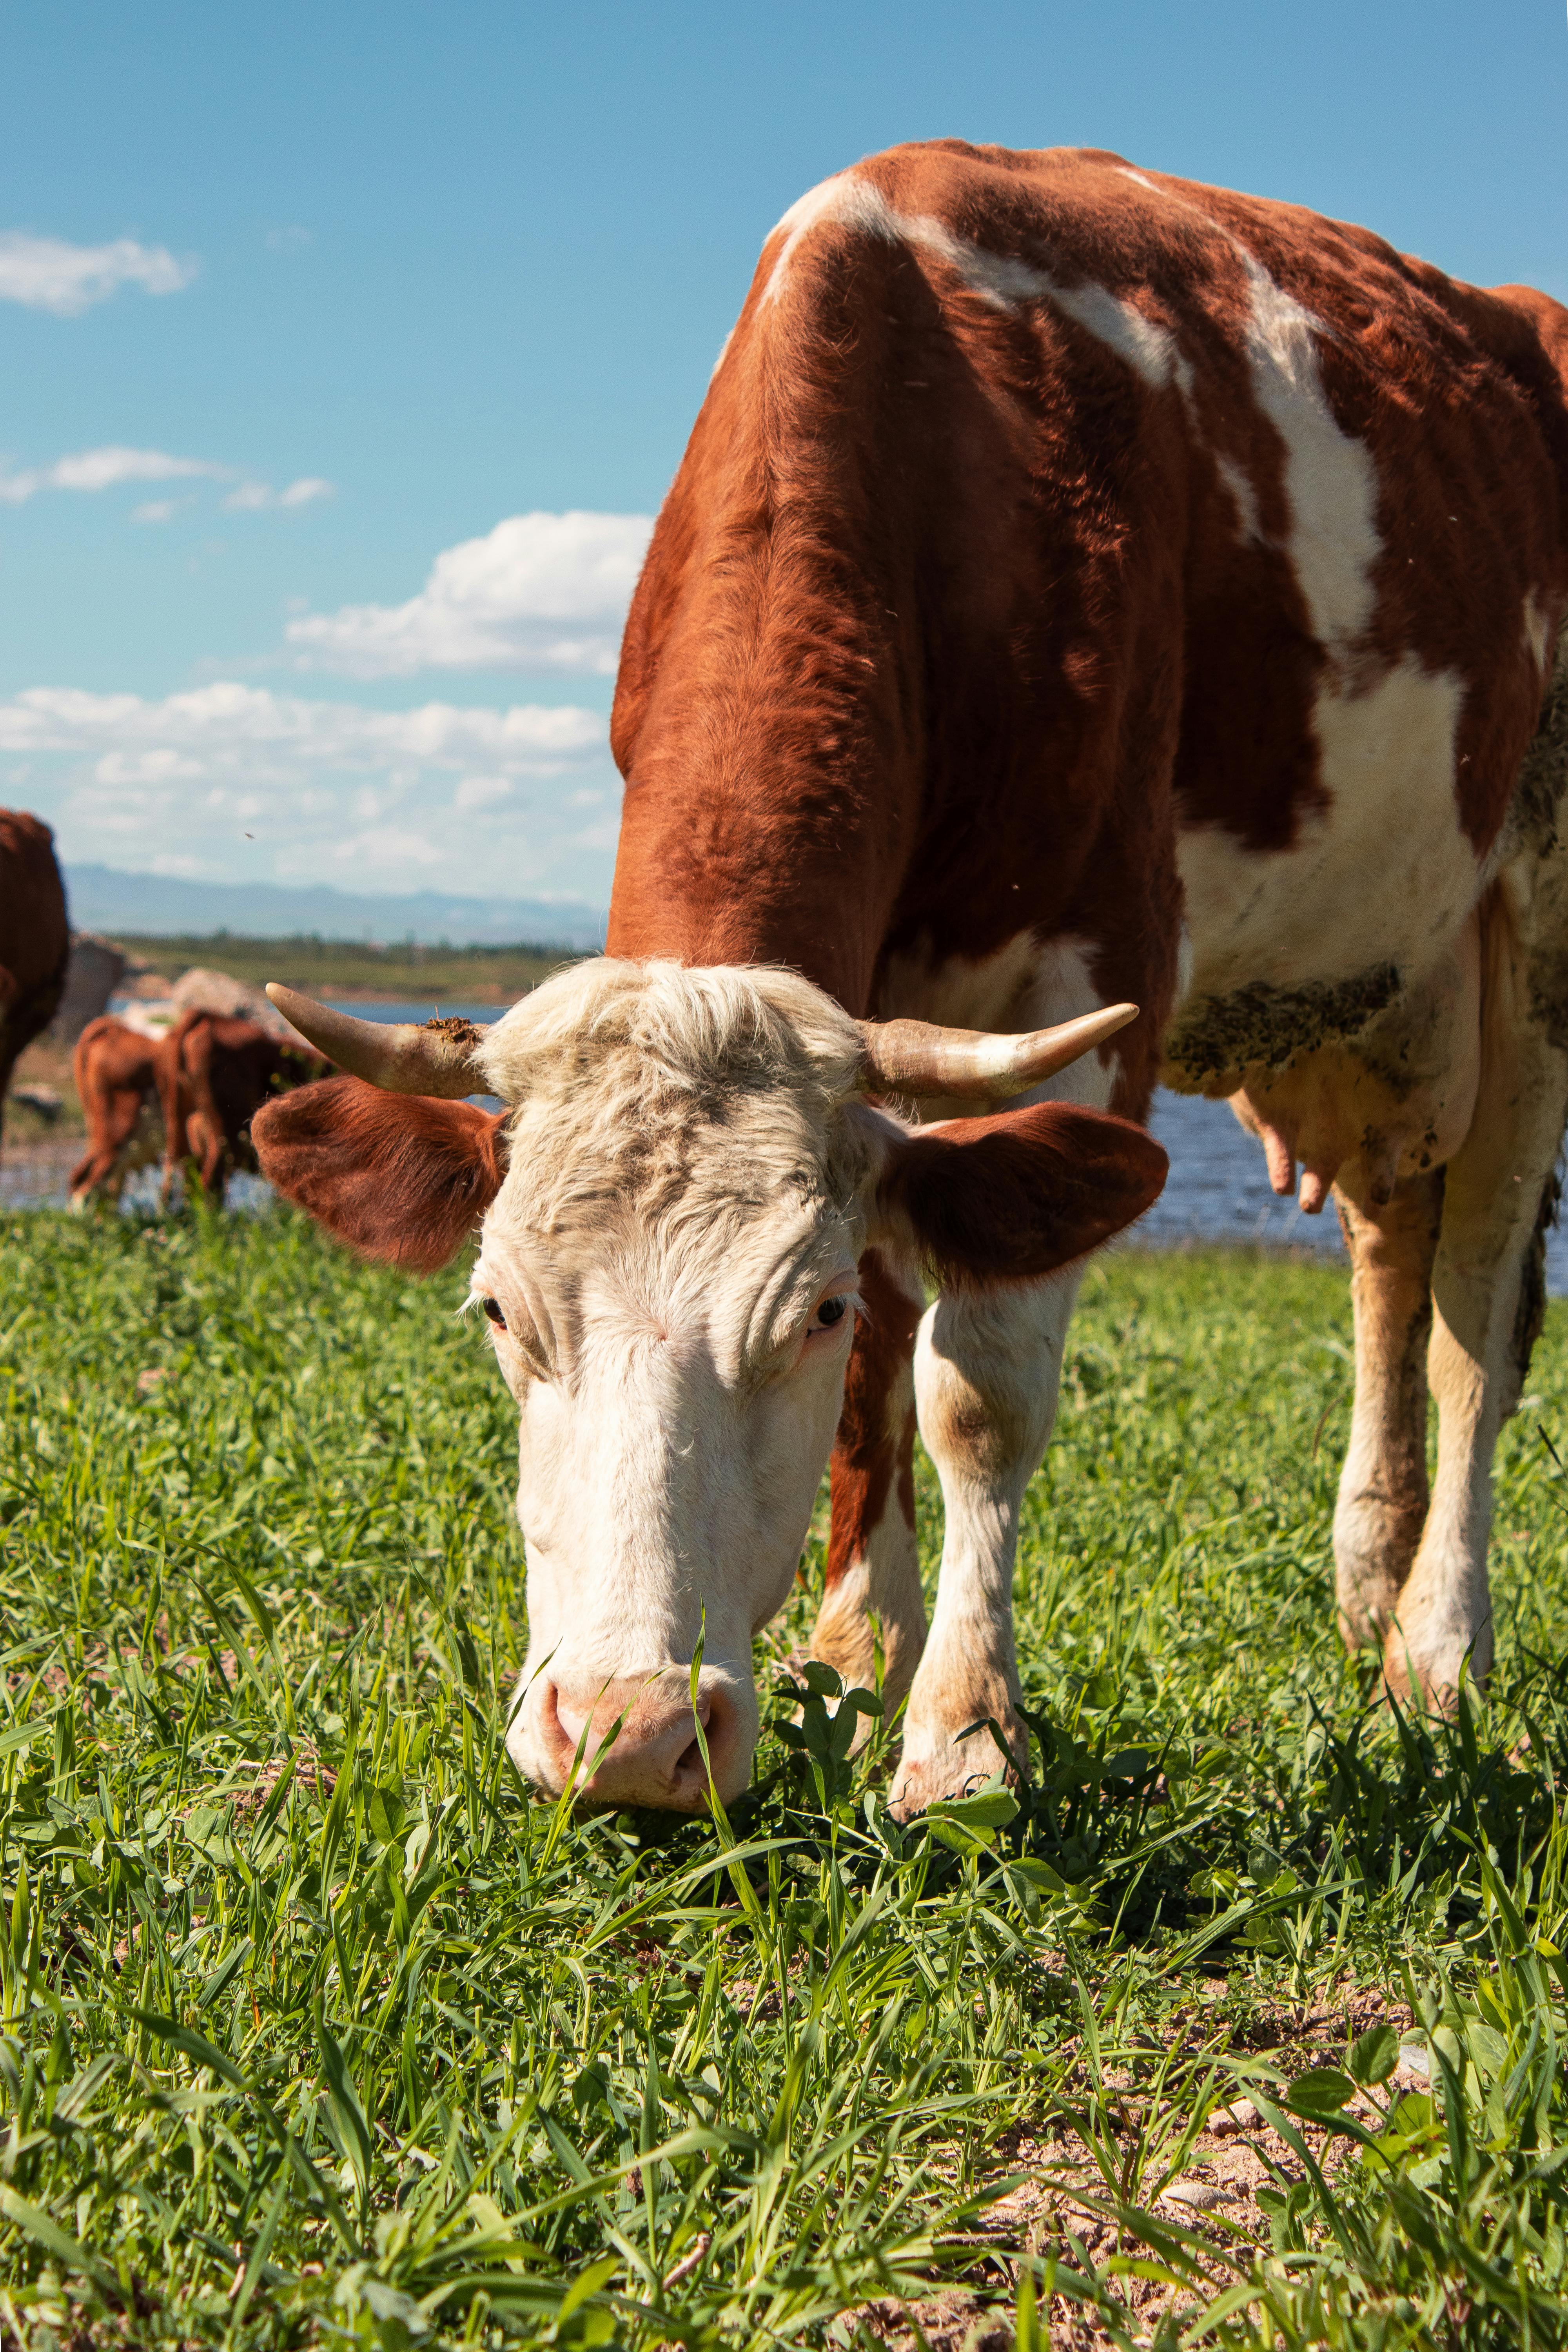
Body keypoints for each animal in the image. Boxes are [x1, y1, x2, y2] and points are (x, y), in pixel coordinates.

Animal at [254, 143, 1568, 1818]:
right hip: (1374, 992)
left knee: (1472, 1312)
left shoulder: (1100, 963)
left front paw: (962, 1737)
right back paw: (1368, 1584)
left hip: (1536, 936)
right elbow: (890, 1343)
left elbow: (971, 1382)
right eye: (496, 1310)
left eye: (797, 1313)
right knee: (1393, 1248)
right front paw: (848, 1658)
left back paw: (1437, 1651)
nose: (626, 1735)